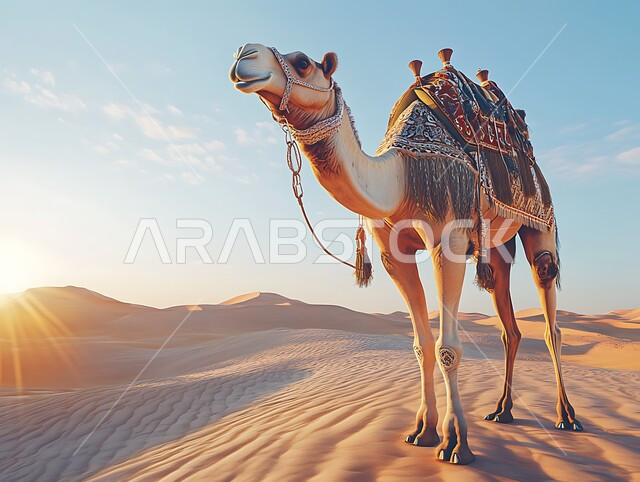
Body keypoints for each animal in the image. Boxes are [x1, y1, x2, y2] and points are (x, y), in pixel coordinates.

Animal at [229, 43, 582, 465]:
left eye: (302, 62)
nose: (243, 54)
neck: (399, 176)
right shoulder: (393, 256)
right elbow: (421, 346)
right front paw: (423, 431)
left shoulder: (449, 239)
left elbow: (447, 348)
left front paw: (456, 442)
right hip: (497, 245)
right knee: (508, 324)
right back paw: (502, 410)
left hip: (540, 220)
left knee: (549, 314)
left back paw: (566, 416)